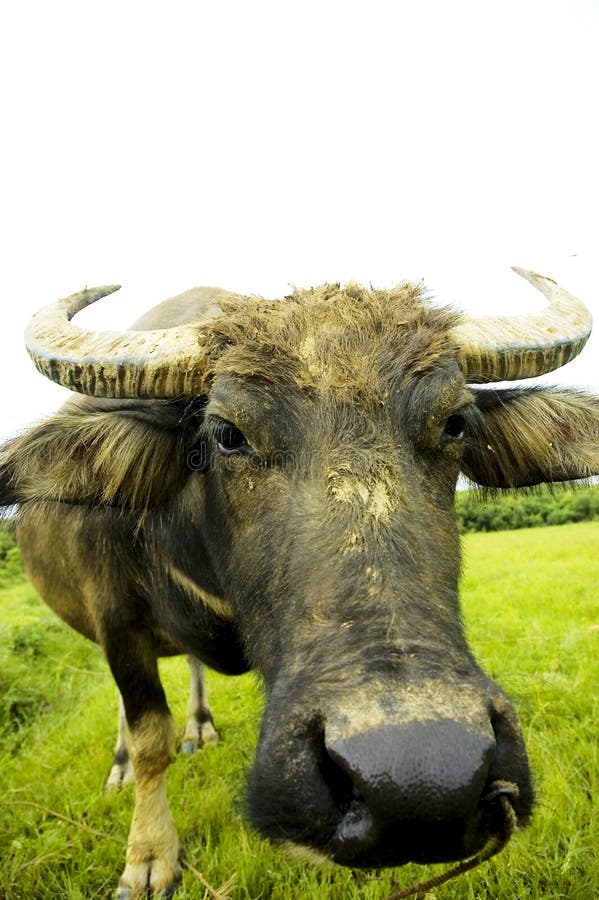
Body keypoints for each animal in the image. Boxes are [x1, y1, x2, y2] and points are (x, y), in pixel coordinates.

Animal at [1, 268, 598, 897]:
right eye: (227, 434)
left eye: (455, 423)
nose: (420, 778)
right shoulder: (116, 620)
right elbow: (148, 740)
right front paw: (148, 855)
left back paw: (201, 728)